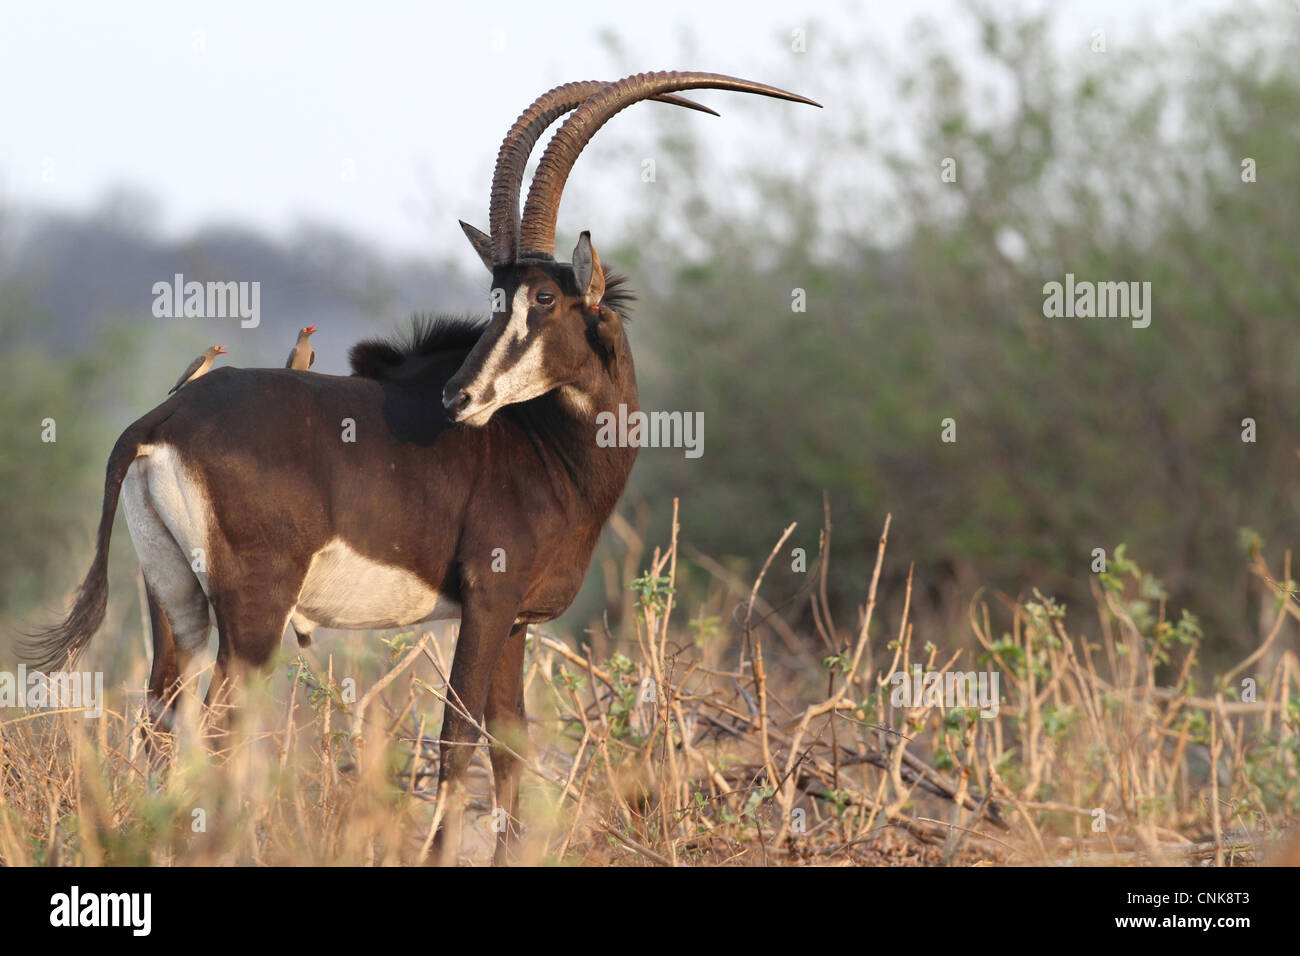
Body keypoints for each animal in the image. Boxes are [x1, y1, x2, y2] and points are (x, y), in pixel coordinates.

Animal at [28, 71, 820, 864]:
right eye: (500, 297)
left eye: (543, 296)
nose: (457, 396)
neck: (546, 446)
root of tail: (159, 421)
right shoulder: (488, 599)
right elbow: (458, 739)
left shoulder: (515, 620)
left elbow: (511, 746)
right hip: (253, 609)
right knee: (221, 730)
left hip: (175, 600)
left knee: (163, 721)